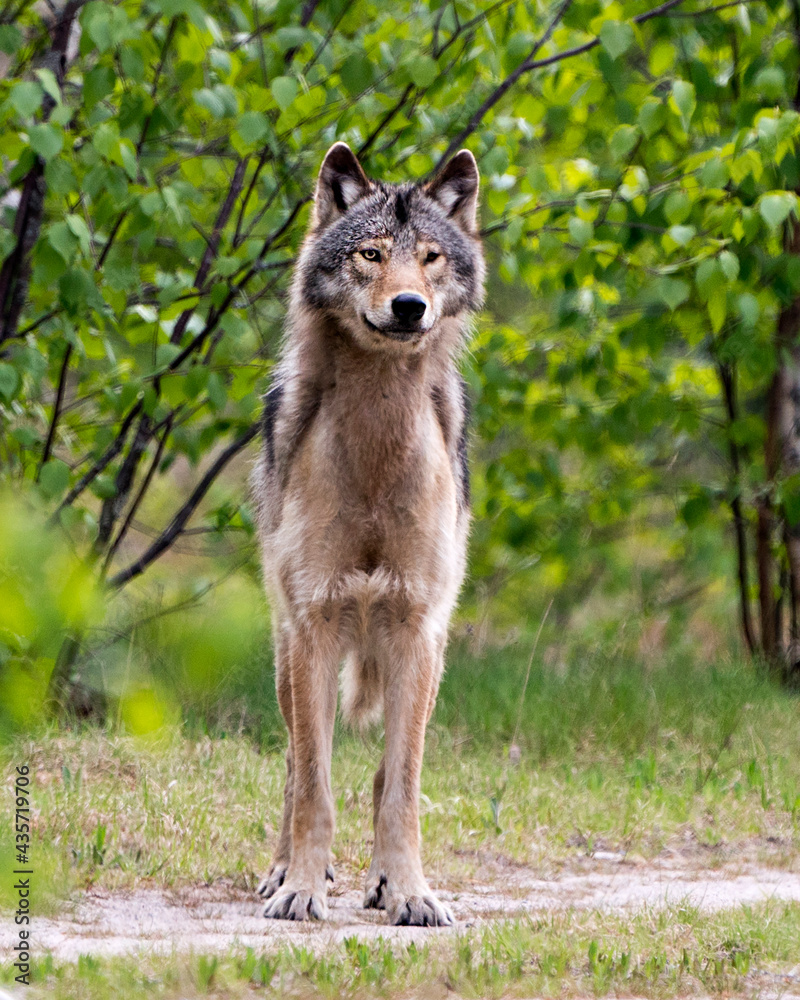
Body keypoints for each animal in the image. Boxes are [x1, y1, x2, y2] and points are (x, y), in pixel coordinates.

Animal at [252, 141, 484, 926]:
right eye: (372, 254)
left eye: (432, 258)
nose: (409, 305)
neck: (378, 457)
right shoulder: (317, 622)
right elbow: (315, 785)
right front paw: (300, 888)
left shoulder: (417, 626)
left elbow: (400, 787)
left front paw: (409, 892)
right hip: (287, 653)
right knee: (294, 765)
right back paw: (283, 873)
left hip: (423, 658)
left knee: (386, 771)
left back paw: (382, 883)